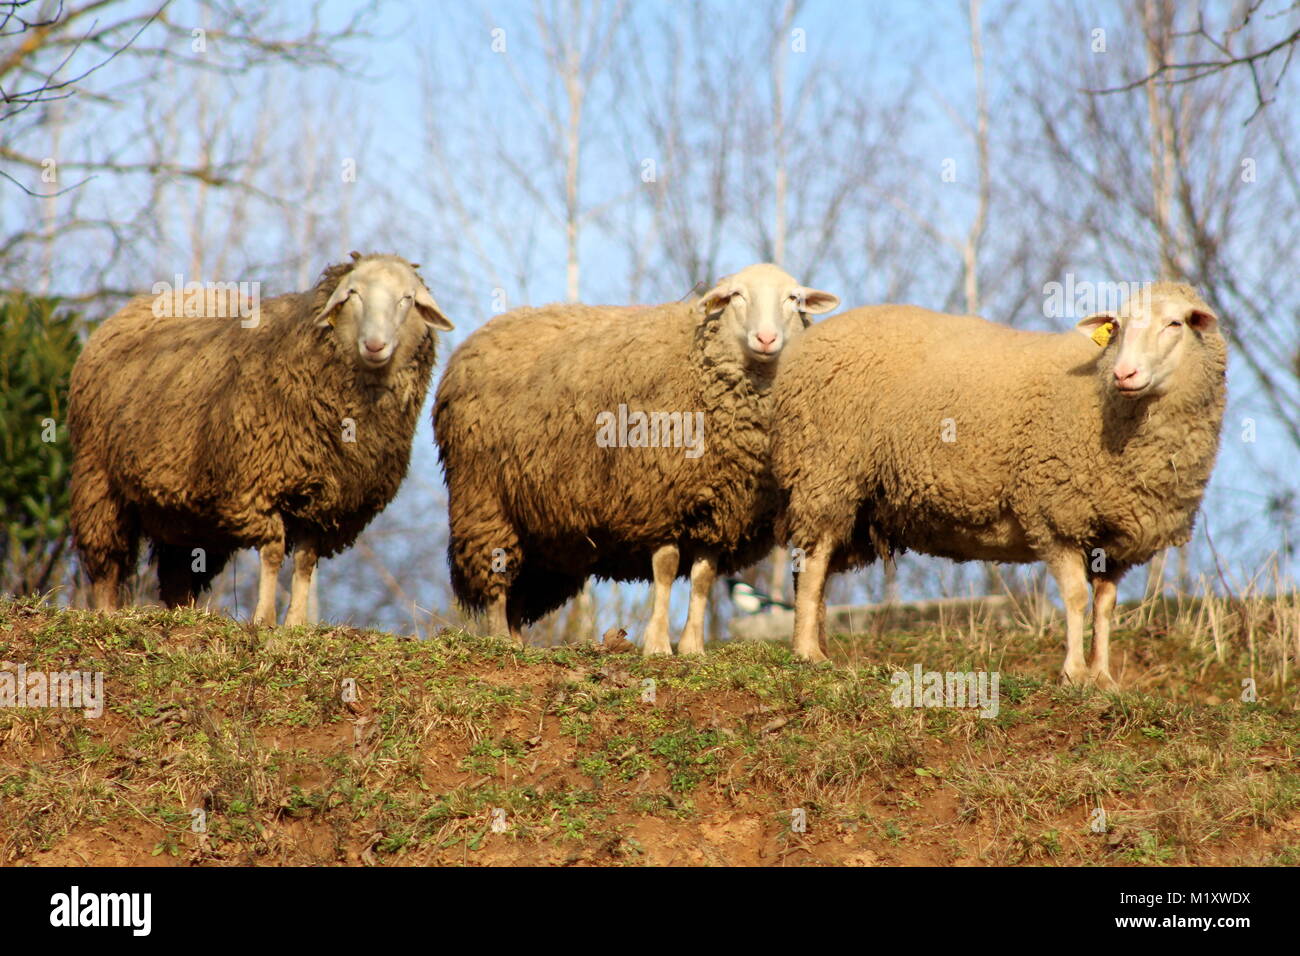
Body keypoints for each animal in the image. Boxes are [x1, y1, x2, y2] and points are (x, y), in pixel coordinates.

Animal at [68, 252, 454, 626]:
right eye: (353, 293)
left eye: (407, 299)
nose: (375, 345)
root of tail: (137, 304)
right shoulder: (258, 486)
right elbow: (272, 552)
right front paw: (264, 619)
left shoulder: (325, 503)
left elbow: (305, 561)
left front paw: (296, 623)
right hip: (98, 478)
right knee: (106, 559)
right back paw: (106, 613)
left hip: (185, 510)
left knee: (180, 572)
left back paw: (184, 615)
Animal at [433, 263, 839, 655]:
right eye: (735, 295)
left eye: (793, 298)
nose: (767, 339)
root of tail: (484, 333)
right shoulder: (659, 499)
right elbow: (666, 568)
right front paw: (657, 645)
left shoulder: (717, 511)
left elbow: (703, 577)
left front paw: (693, 648)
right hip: (483, 498)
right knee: (496, 572)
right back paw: (500, 638)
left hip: (539, 526)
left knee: (521, 584)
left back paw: (518, 640)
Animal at [771, 281, 1226, 686]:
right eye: (1118, 326)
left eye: (1175, 324)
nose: (1124, 373)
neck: (1109, 406)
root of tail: (810, 339)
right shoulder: (1053, 513)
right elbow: (1076, 597)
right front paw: (1074, 674)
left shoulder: (1116, 539)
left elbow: (1105, 605)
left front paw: (1103, 678)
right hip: (826, 472)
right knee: (813, 563)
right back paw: (807, 653)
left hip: (855, 498)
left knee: (815, 569)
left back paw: (818, 645)